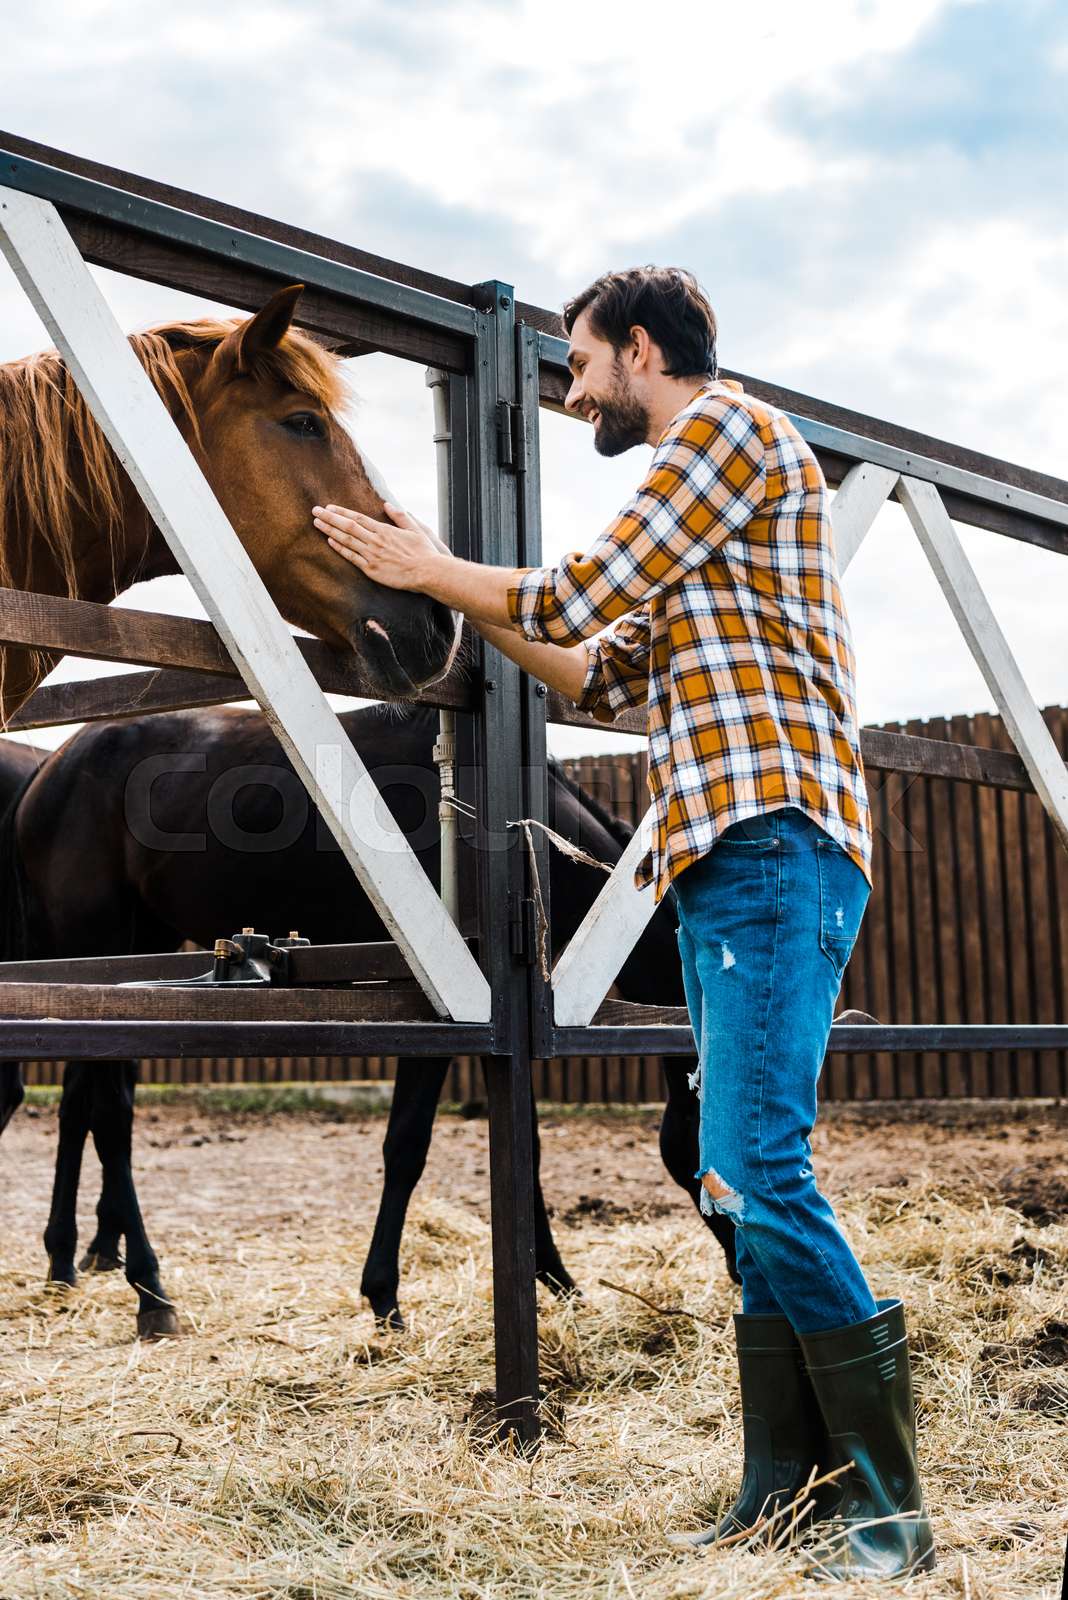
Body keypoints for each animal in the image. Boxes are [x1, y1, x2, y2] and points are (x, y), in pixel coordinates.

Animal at [0, 703, 738, 1336]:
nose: (741, 1271)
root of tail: (50, 769)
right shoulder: (436, 1010)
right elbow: (406, 1145)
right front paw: (384, 1295)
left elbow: (523, 1147)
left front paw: (556, 1276)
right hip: (90, 940)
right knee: (108, 1117)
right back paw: (149, 1292)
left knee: (101, 1108)